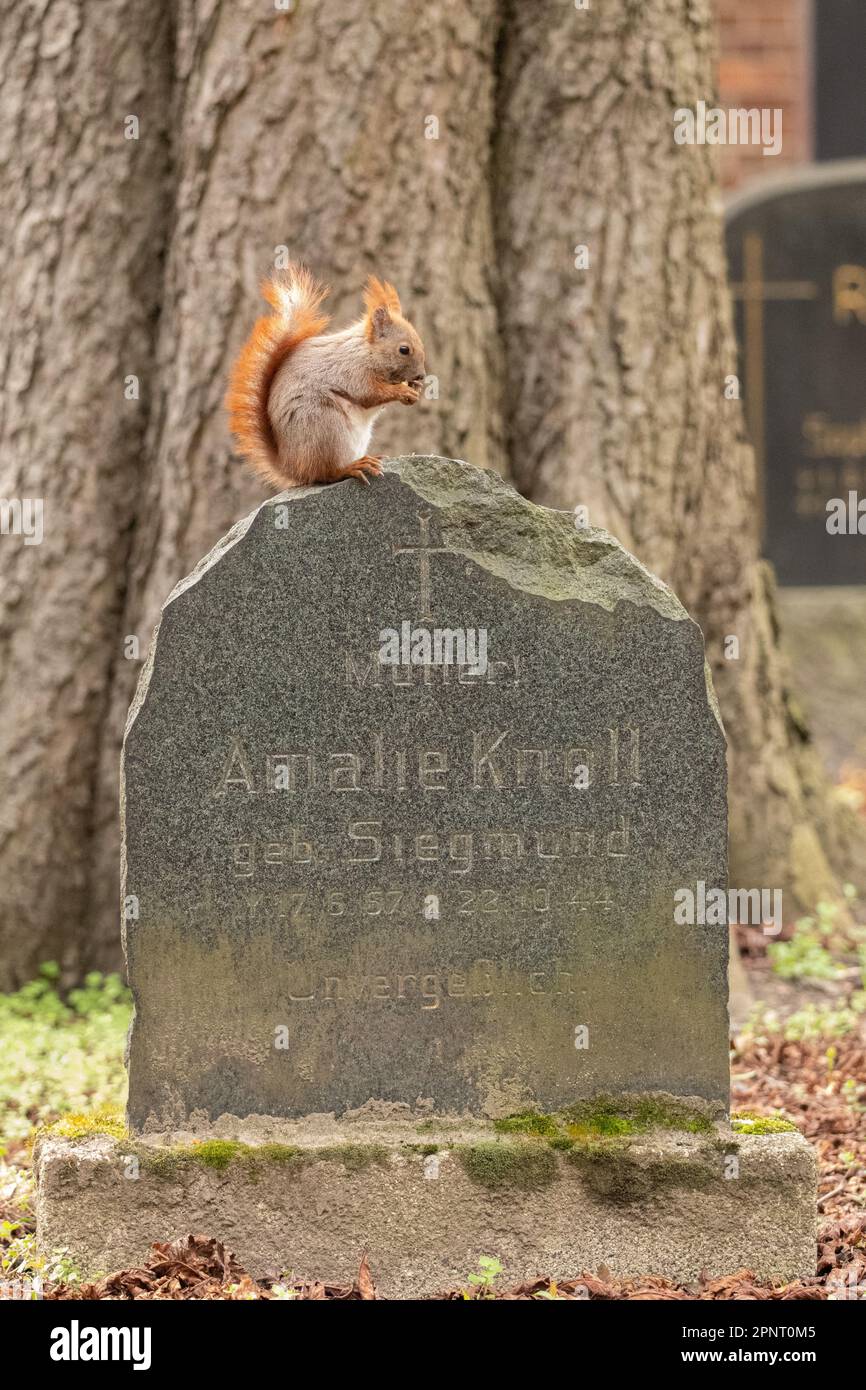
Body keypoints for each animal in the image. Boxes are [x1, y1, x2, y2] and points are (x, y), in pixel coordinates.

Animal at [226, 263, 426, 488]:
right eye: (404, 349)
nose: (422, 376)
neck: (366, 351)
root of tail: (291, 466)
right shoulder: (351, 371)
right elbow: (369, 394)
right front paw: (403, 391)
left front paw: (414, 391)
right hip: (325, 427)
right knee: (327, 473)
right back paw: (353, 467)